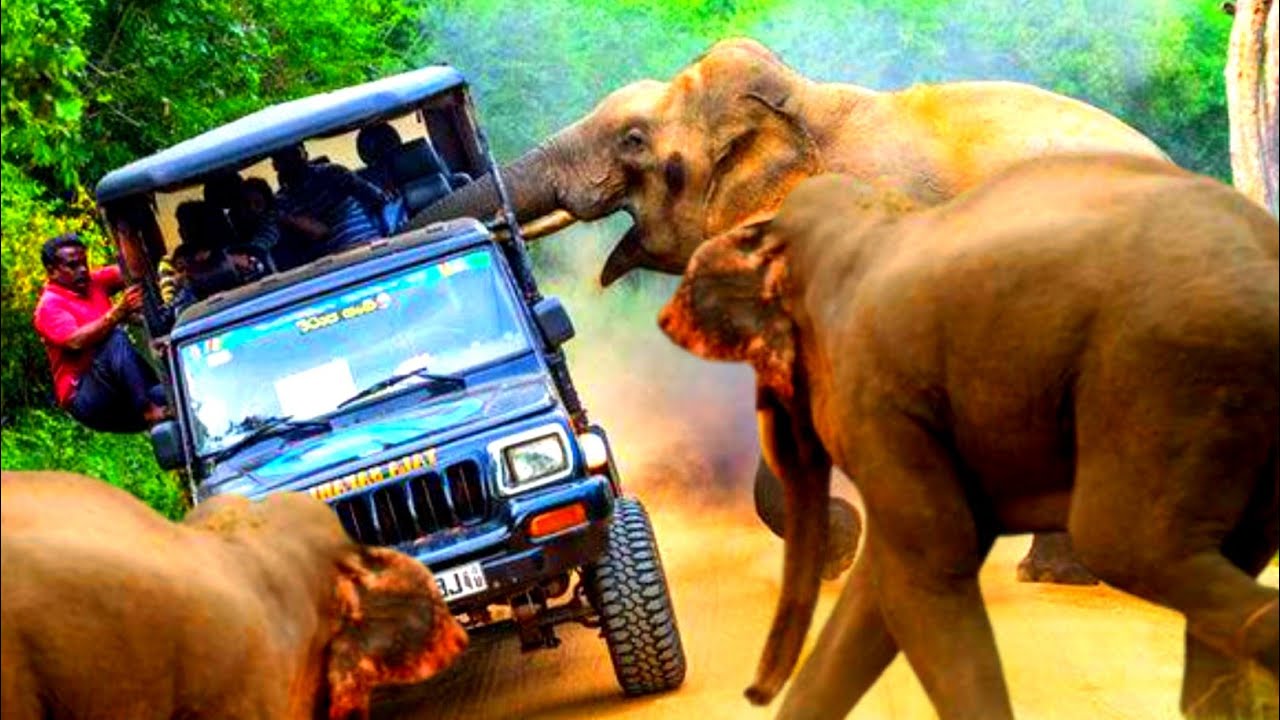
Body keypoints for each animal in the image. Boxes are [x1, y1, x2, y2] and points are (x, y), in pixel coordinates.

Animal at [656, 155, 1280, 719]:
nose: (752, 694)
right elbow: (882, 587)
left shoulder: (878, 395)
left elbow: (928, 564)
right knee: (1230, 554)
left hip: (1164, 370)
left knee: (1124, 543)